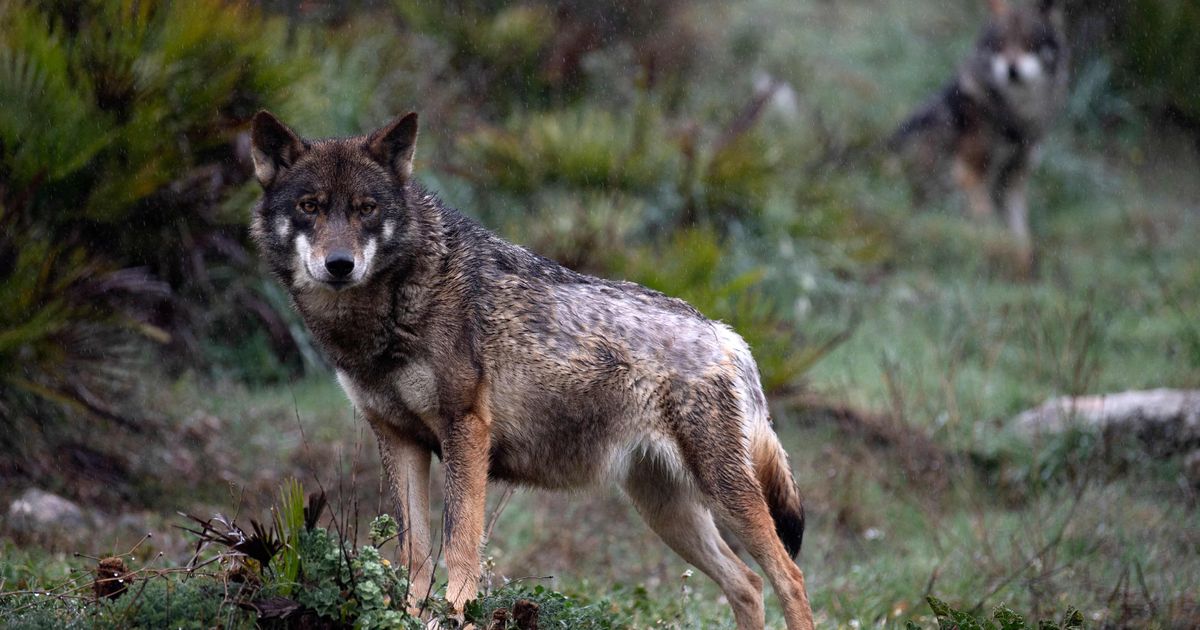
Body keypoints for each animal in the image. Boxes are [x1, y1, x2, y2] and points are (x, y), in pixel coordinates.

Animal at [248, 110, 814, 630]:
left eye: (366, 209)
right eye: (310, 207)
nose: (339, 264)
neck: (389, 310)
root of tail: (725, 333)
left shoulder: (465, 430)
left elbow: (459, 546)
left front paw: (455, 616)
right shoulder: (396, 437)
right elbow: (415, 557)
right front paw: (410, 616)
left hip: (724, 495)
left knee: (788, 576)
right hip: (666, 512)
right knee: (748, 584)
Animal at [890, 0, 1068, 269]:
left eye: (1028, 43)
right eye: (1001, 44)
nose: (1012, 70)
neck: (1015, 116)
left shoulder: (1013, 179)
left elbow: (1021, 234)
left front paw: (1022, 263)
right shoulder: (970, 171)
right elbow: (987, 221)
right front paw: (993, 252)